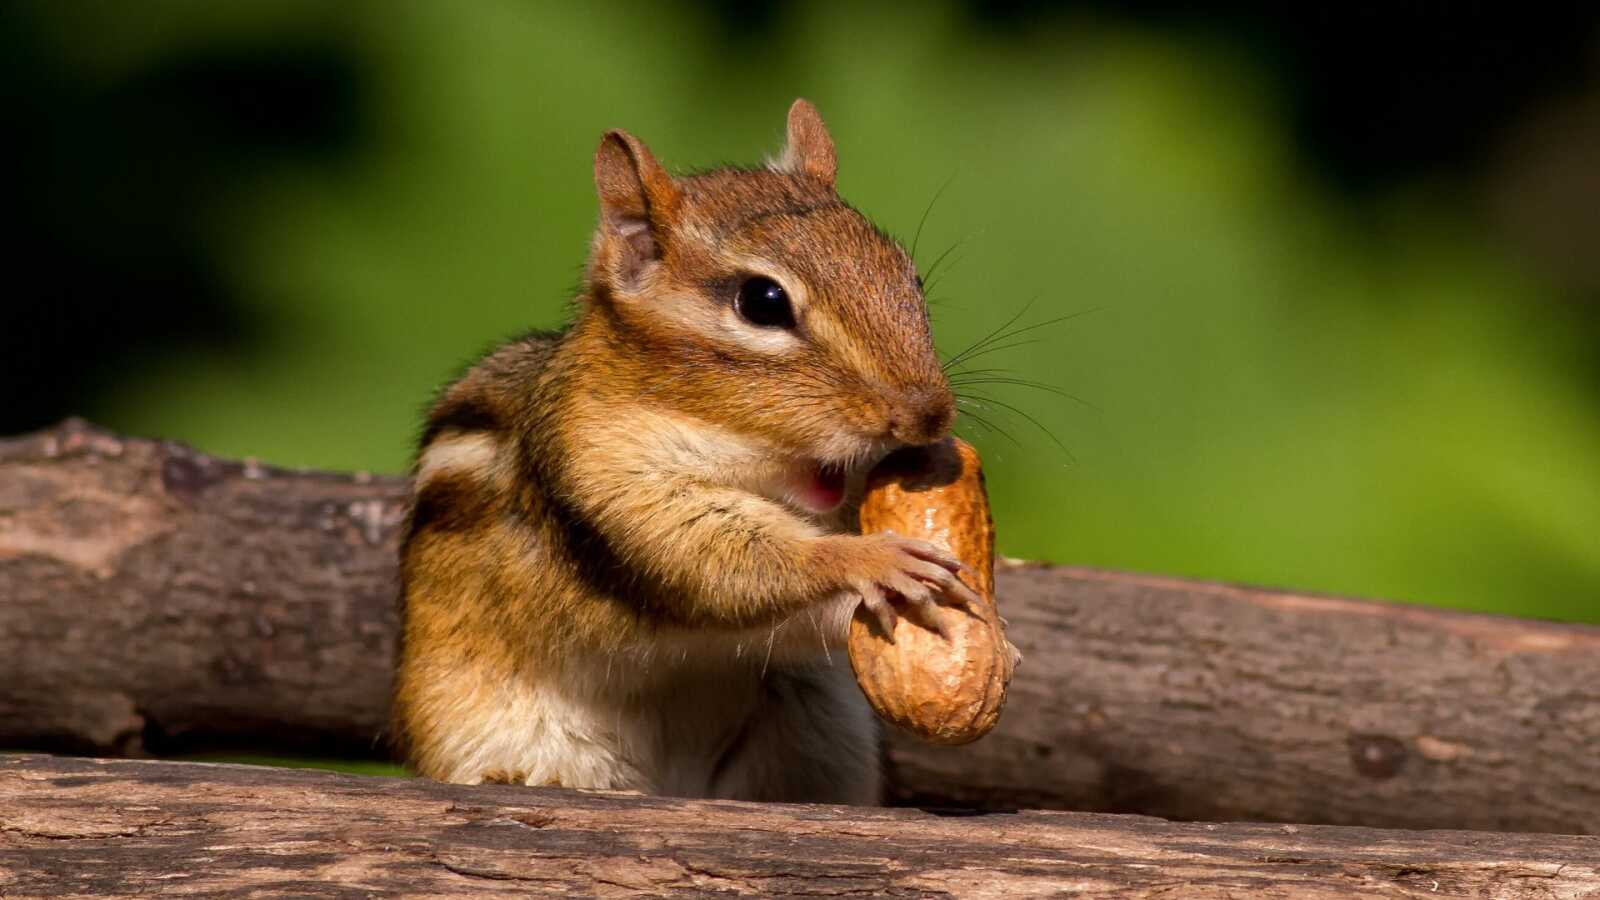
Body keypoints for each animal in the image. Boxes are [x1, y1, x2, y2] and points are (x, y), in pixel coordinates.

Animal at [392, 99, 978, 804]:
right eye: (763, 302)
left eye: (907, 273)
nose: (928, 413)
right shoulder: (604, 476)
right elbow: (712, 557)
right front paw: (869, 558)